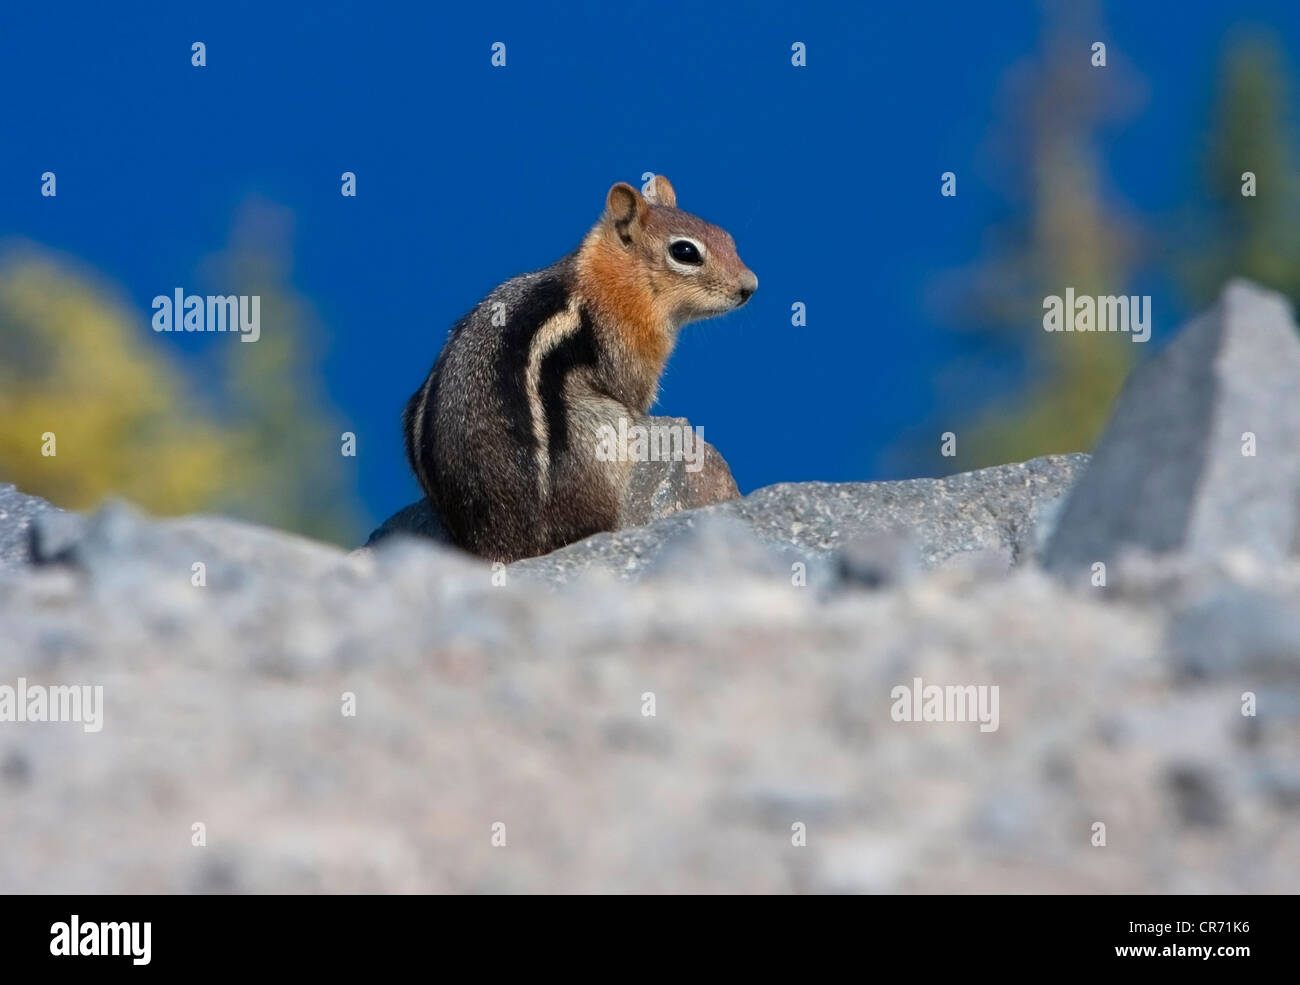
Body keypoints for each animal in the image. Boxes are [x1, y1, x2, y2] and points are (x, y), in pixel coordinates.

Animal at [403, 175, 757, 562]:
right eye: (685, 252)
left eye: (727, 238)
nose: (750, 286)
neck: (613, 277)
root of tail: (502, 543)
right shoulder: (628, 351)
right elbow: (632, 390)